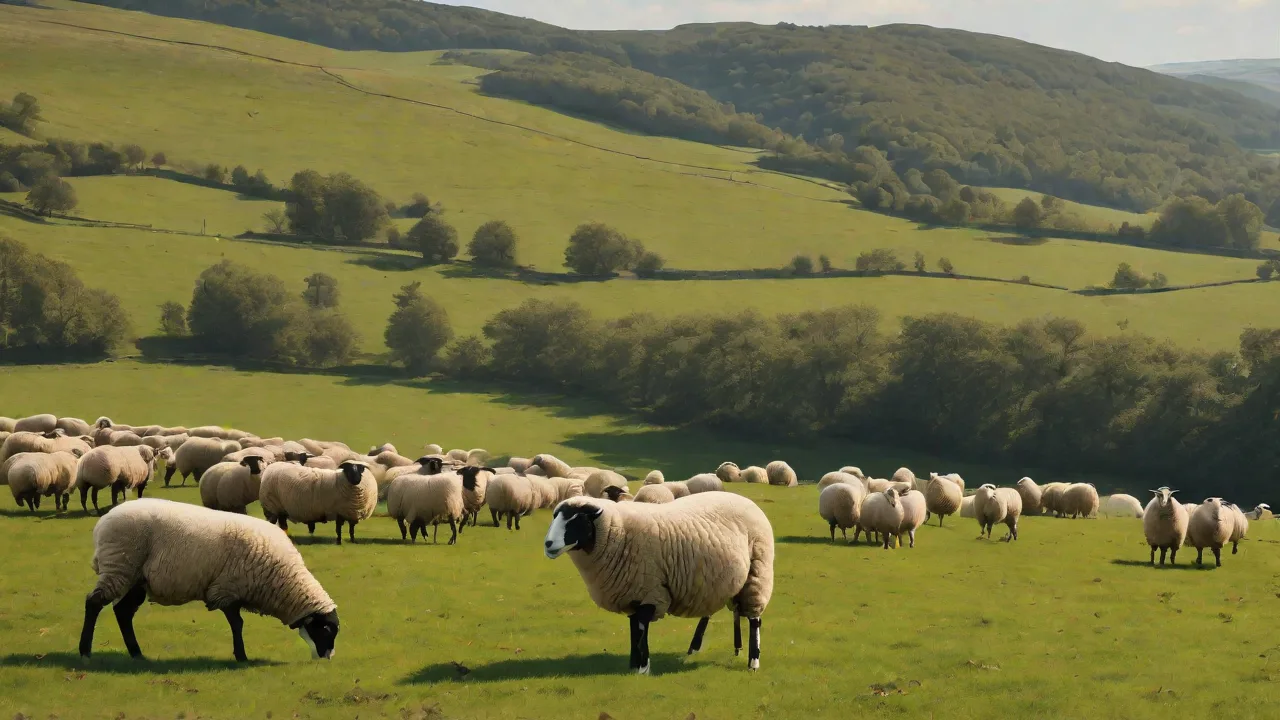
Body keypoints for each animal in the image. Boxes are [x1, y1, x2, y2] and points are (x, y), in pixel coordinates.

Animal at [78, 498, 339, 662]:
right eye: (326, 629)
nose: (328, 658)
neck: (282, 580)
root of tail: (103, 522)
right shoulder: (226, 589)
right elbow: (237, 624)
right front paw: (241, 656)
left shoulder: (231, 591)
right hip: (119, 566)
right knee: (93, 603)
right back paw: (85, 651)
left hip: (136, 578)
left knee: (122, 612)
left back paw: (137, 653)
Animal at [544, 492, 774, 672]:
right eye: (555, 516)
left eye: (577, 518)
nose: (548, 544)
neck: (617, 530)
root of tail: (748, 501)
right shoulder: (633, 594)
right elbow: (633, 628)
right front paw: (633, 666)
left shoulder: (650, 592)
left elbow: (641, 628)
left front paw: (643, 667)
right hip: (718, 580)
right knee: (724, 612)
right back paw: (714, 649)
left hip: (757, 572)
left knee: (754, 619)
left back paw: (753, 661)